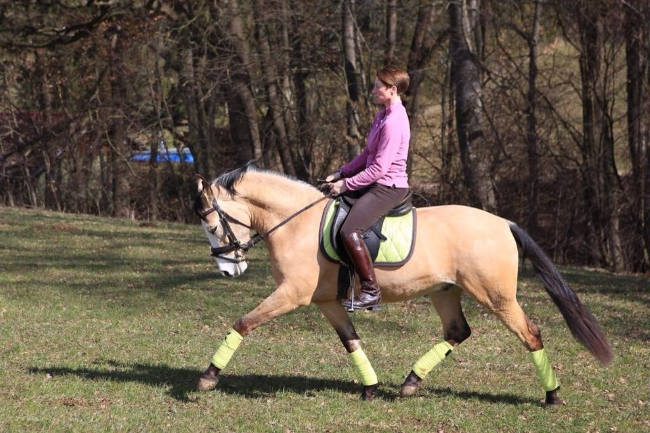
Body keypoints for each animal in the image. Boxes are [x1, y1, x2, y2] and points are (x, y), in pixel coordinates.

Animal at [192, 161, 613, 403]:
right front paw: (370, 387)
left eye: (212, 225)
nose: (228, 271)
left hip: (496, 297)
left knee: (531, 333)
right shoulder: (327, 302)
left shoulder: (290, 295)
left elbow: (243, 323)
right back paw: (410, 383)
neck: (297, 224)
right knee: (458, 332)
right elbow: (351, 341)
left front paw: (208, 378)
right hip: (445, 292)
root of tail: (503, 223)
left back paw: (552, 396)